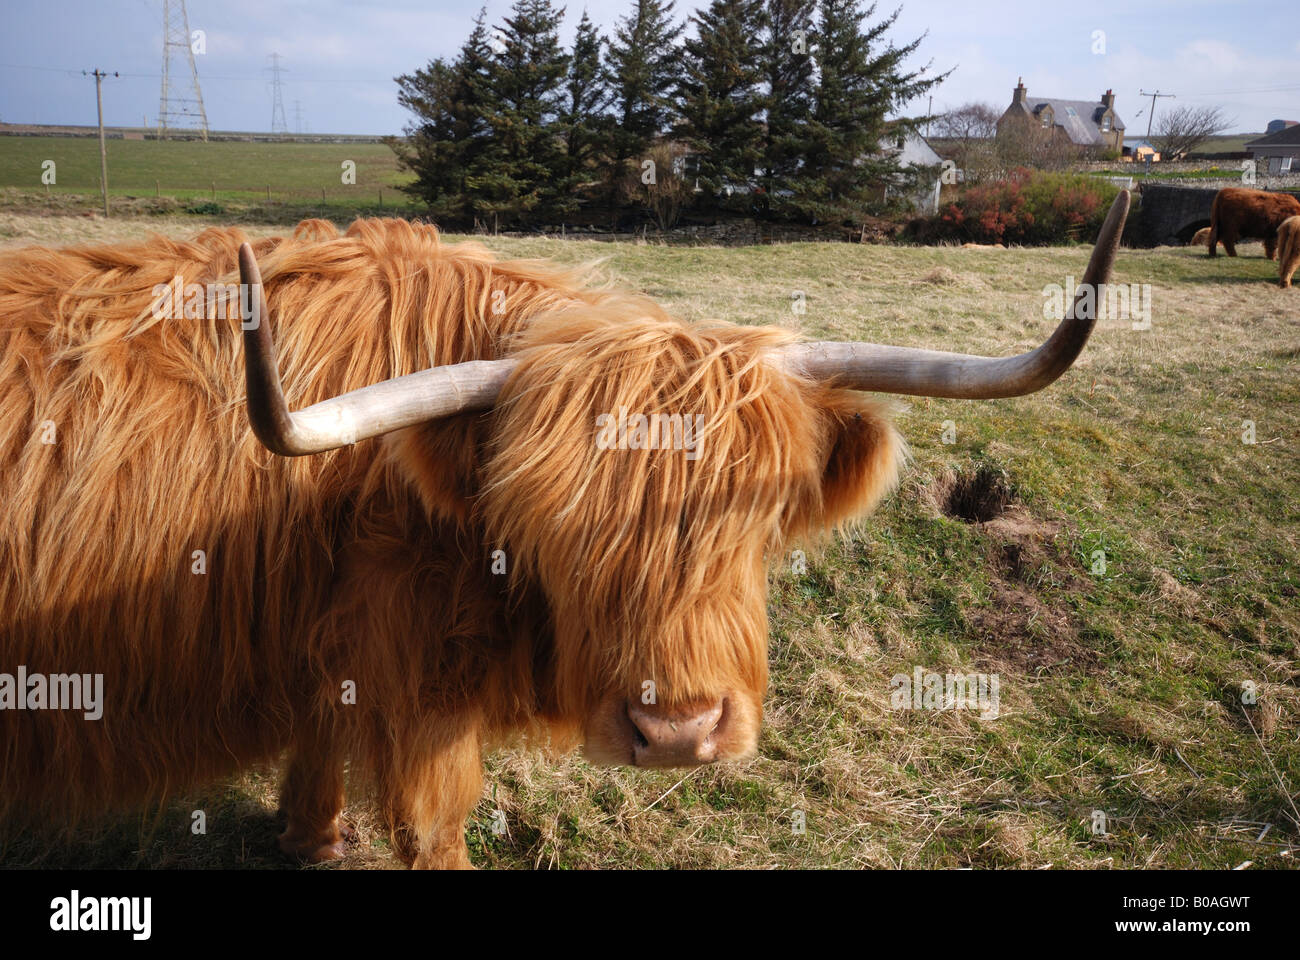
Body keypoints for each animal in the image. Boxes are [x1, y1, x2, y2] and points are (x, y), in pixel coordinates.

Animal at [0, 193, 1129, 869]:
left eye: (756, 517)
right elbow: (432, 824)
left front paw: (312, 839)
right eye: (557, 527)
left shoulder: (338, 650)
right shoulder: (418, 681)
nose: (678, 733)